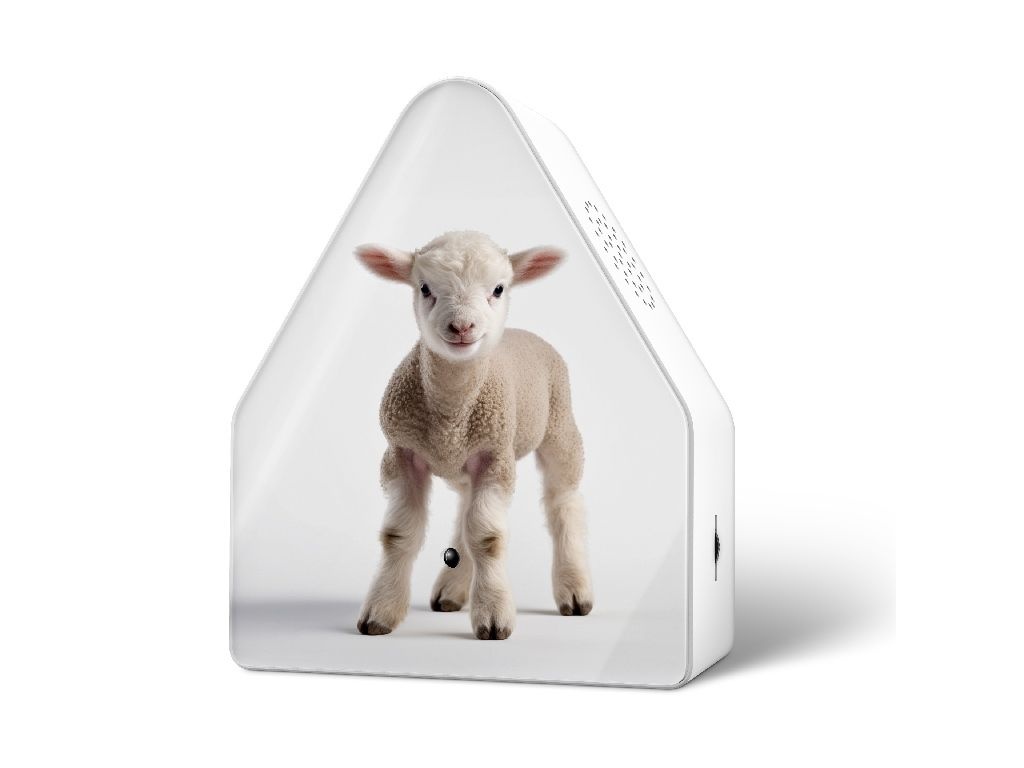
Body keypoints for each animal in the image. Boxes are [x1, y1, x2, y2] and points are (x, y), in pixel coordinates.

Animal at [353, 230, 593, 640]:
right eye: (424, 287)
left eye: (498, 288)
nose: (462, 327)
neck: (451, 413)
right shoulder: (401, 452)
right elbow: (398, 535)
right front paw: (381, 611)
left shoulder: (496, 456)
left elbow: (487, 537)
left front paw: (494, 616)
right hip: (467, 466)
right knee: (466, 511)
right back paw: (452, 590)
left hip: (560, 425)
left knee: (563, 502)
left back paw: (574, 589)